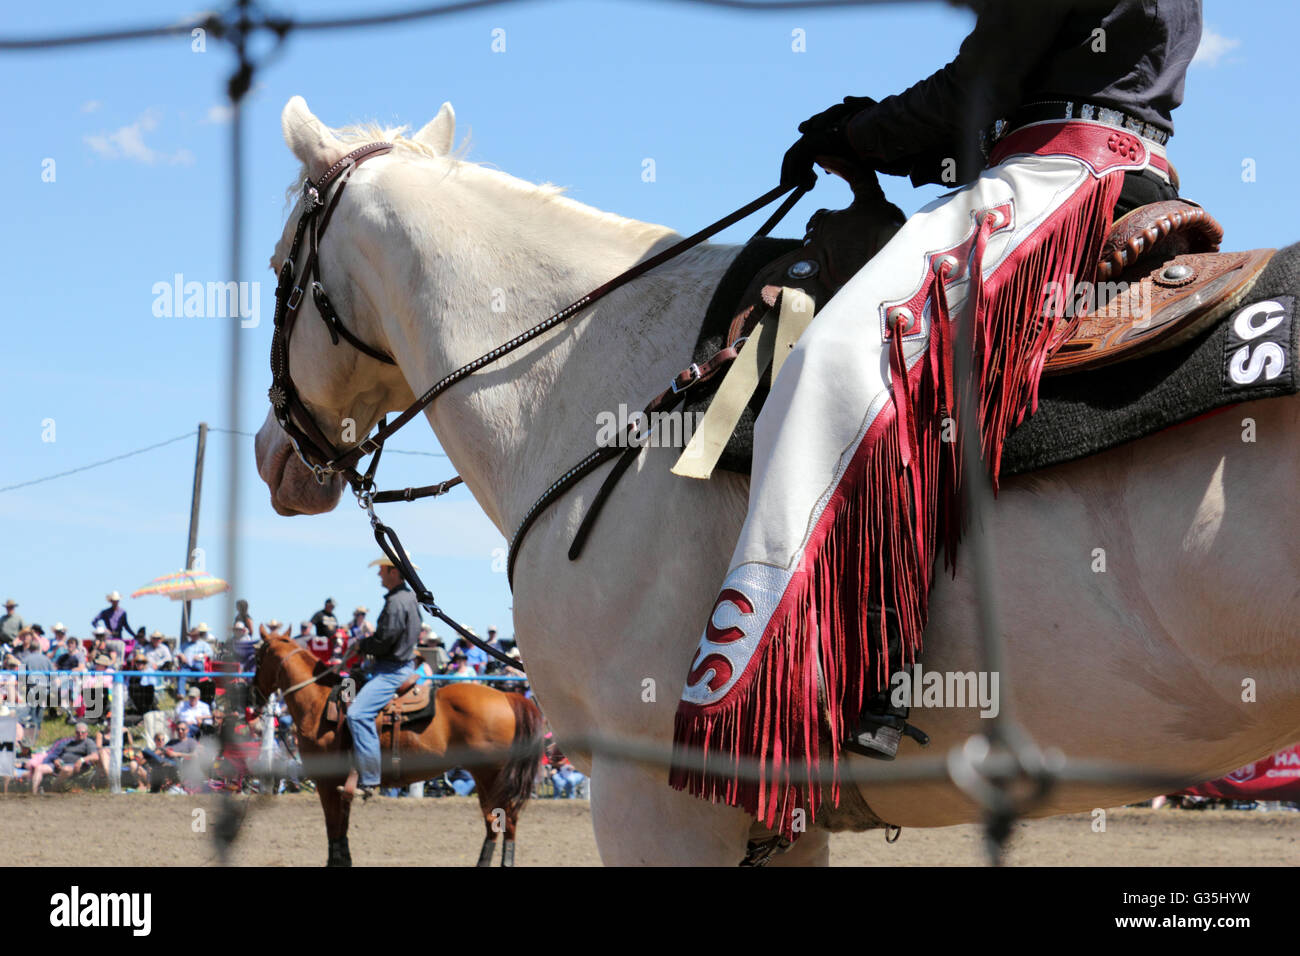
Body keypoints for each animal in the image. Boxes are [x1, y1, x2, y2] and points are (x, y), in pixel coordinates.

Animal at [252, 633, 545, 866]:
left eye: (256, 658)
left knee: (504, 819)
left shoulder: (327, 783)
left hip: (491, 775)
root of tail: (507, 696)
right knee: (495, 821)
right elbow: (342, 831)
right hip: (486, 778)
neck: (319, 704)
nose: (253, 696)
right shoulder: (340, 786)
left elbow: (333, 830)